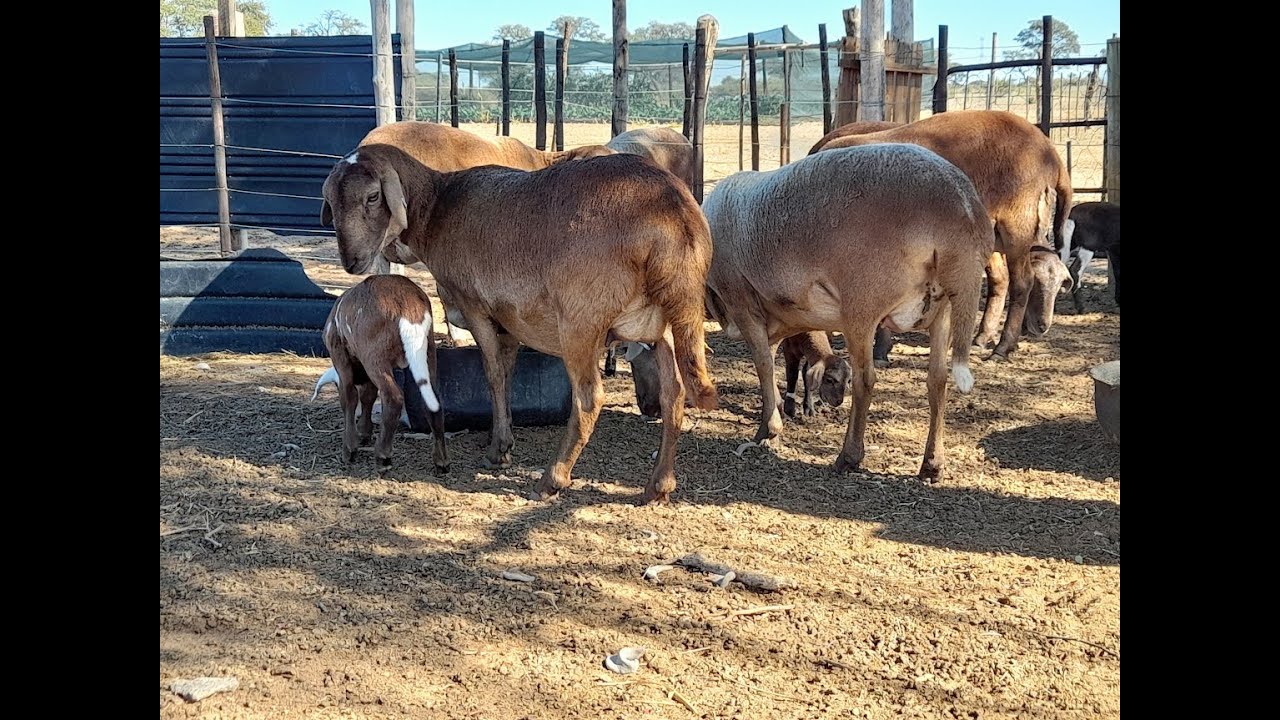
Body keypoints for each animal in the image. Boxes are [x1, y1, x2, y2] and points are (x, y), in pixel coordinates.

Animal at [313, 274, 449, 477]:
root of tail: (410, 311)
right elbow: (368, 396)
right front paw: (364, 433)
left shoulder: (340, 356)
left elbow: (349, 397)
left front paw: (350, 449)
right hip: (428, 351)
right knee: (433, 400)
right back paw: (442, 461)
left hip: (375, 356)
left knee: (392, 397)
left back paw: (383, 457)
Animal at [694, 142, 993, 481]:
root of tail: (961, 207)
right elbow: (771, 361)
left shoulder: (743, 302)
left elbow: (763, 366)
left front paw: (767, 430)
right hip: (943, 309)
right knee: (938, 380)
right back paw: (932, 464)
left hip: (863, 305)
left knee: (866, 379)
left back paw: (848, 457)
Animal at [813, 110, 1075, 360]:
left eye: (1061, 285)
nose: (1042, 326)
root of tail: (1052, 155)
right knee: (1001, 280)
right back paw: (982, 338)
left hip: (1017, 222)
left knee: (1021, 282)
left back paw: (1002, 347)